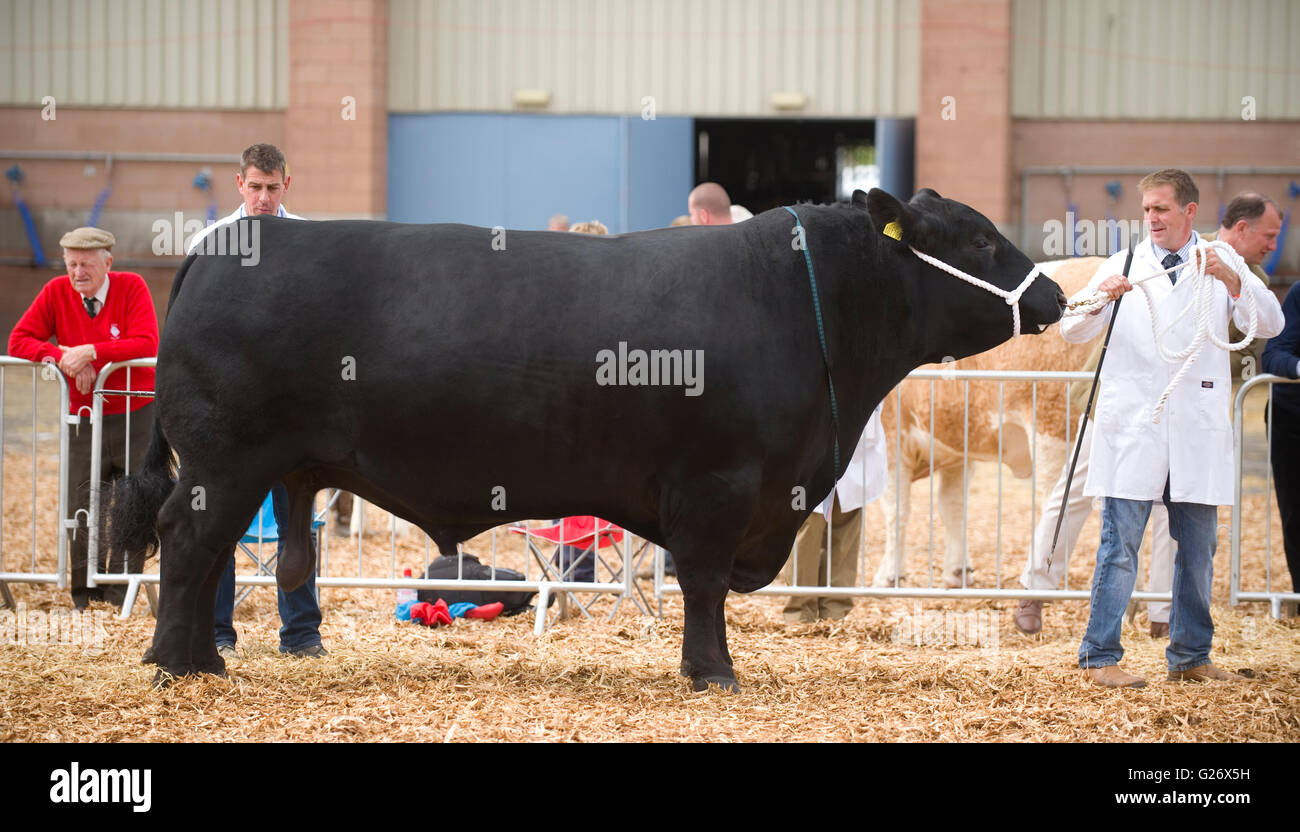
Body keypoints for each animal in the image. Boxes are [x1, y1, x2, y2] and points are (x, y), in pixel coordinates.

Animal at [108, 188, 1065, 692]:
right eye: (978, 238)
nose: (1056, 294)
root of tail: (227, 244)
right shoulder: (717, 485)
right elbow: (705, 587)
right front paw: (713, 674)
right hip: (227, 459)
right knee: (187, 542)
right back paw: (170, 666)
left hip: (248, 466)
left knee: (204, 551)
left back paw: (200, 661)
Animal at [870, 257, 1103, 588]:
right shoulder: (958, 446)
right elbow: (952, 505)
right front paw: (957, 571)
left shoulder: (892, 435)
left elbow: (895, 509)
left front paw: (889, 575)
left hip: (1053, 425)